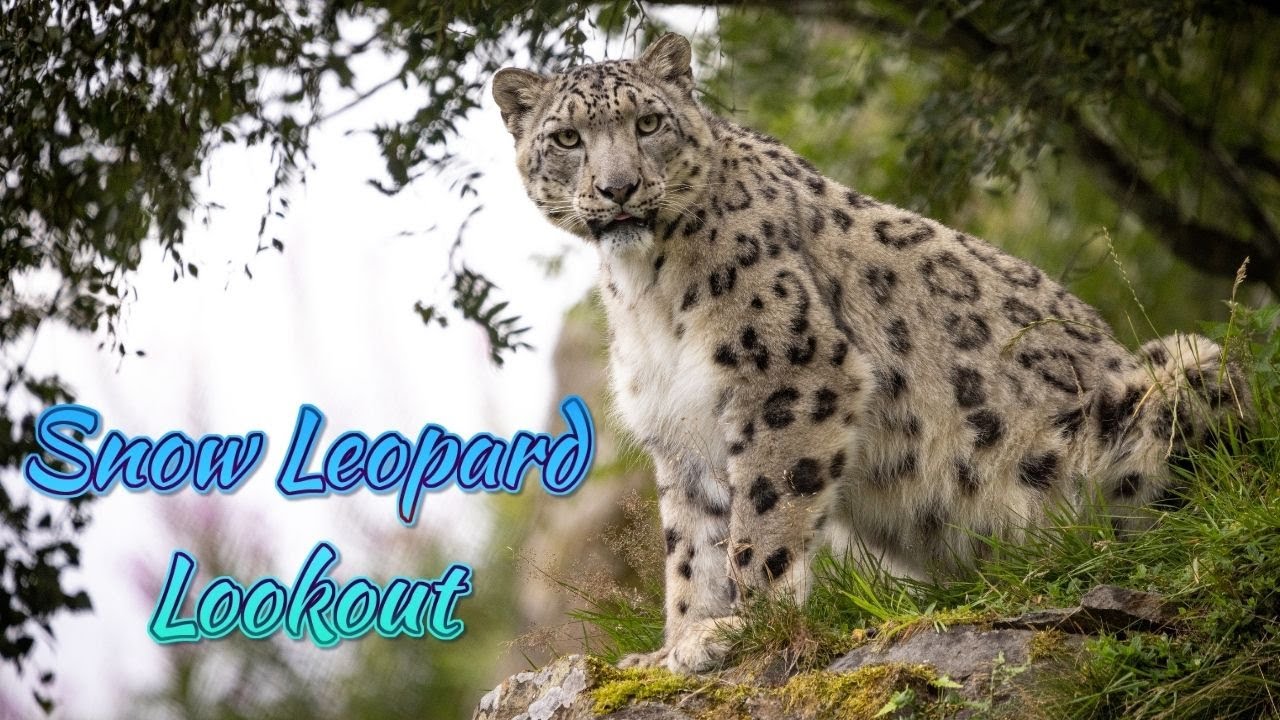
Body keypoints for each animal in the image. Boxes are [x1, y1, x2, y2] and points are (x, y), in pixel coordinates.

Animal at [492, 32, 1252, 674]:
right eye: (566, 138)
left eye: (648, 124)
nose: (617, 188)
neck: (645, 287)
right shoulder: (681, 431)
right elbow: (690, 551)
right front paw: (679, 642)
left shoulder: (788, 375)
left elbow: (762, 518)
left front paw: (746, 626)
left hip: (1183, 372)